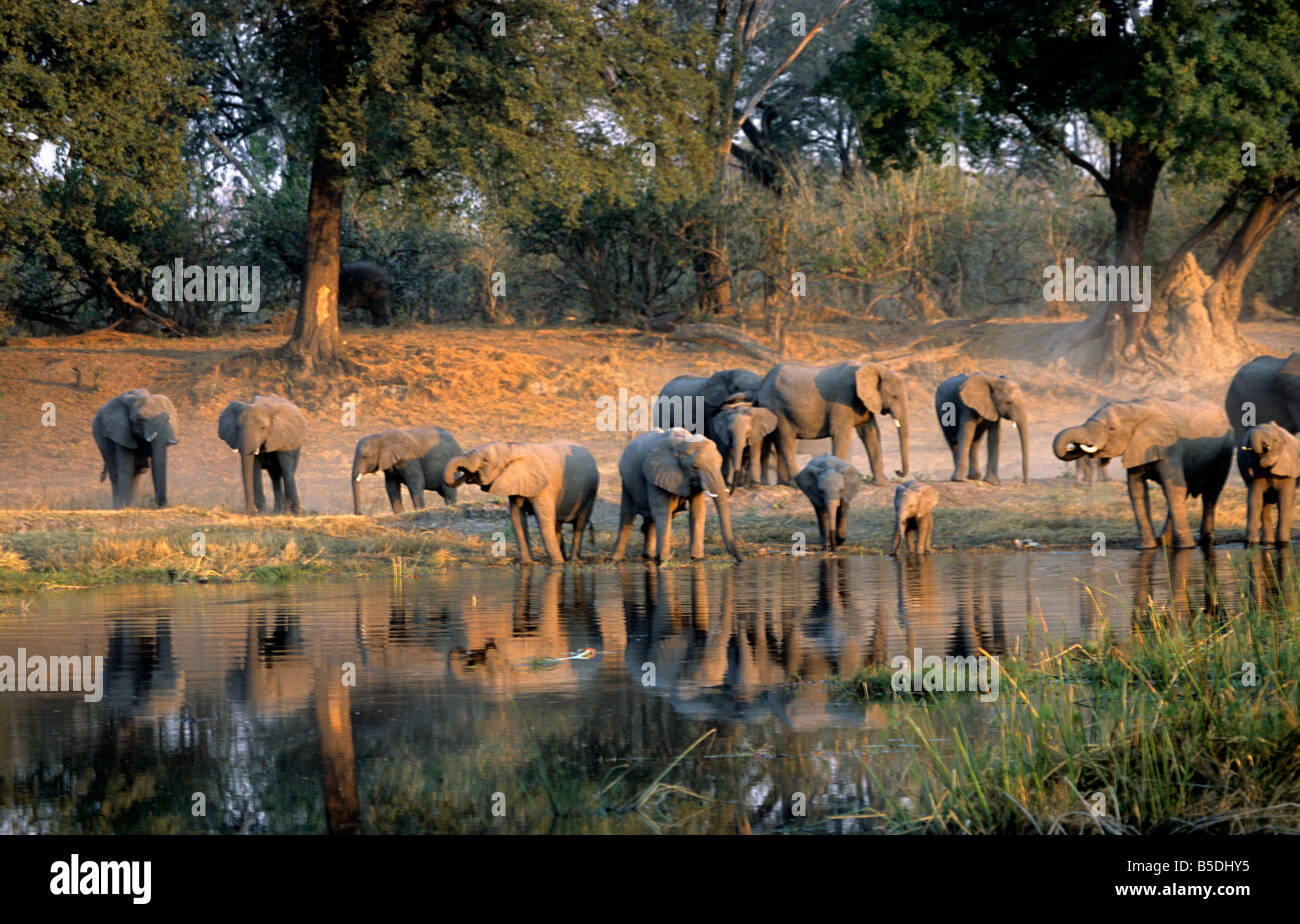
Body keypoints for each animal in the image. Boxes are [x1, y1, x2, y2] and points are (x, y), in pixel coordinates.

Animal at [443, 440, 598, 564]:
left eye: (486, 460)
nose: (466, 476)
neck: (512, 448)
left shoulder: (544, 487)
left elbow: (543, 519)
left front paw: (558, 565)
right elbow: (517, 517)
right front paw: (526, 564)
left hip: (590, 493)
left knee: (580, 524)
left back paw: (572, 560)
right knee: (557, 525)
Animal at [610, 428, 743, 563]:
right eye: (695, 467)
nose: (740, 560)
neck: (682, 444)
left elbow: (698, 511)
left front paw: (697, 559)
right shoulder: (655, 474)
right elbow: (662, 512)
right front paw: (663, 561)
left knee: (650, 520)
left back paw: (649, 556)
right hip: (626, 482)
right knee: (627, 516)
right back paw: (616, 559)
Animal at [755, 360, 910, 486]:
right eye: (894, 396)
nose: (897, 471)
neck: (873, 368)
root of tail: (762, 384)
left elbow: (871, 433)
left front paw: (883, 484)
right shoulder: (842, 399)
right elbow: (841, 434)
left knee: (779, 443)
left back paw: (784, 484)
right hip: (777, 409)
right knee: (786, 441)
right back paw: (795, 484)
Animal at [1053, 397, 1234, 549]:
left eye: (1111, 428)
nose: (1076, 445)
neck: (1135, 408)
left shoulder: (1169, 447)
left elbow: (1173, 488)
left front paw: (1186, 547)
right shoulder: (1136, 446)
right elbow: (1137, 490)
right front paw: (1146, 548)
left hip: (1224, 453)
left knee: (1211, 493)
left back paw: (1206, 541)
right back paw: (1164, 541)